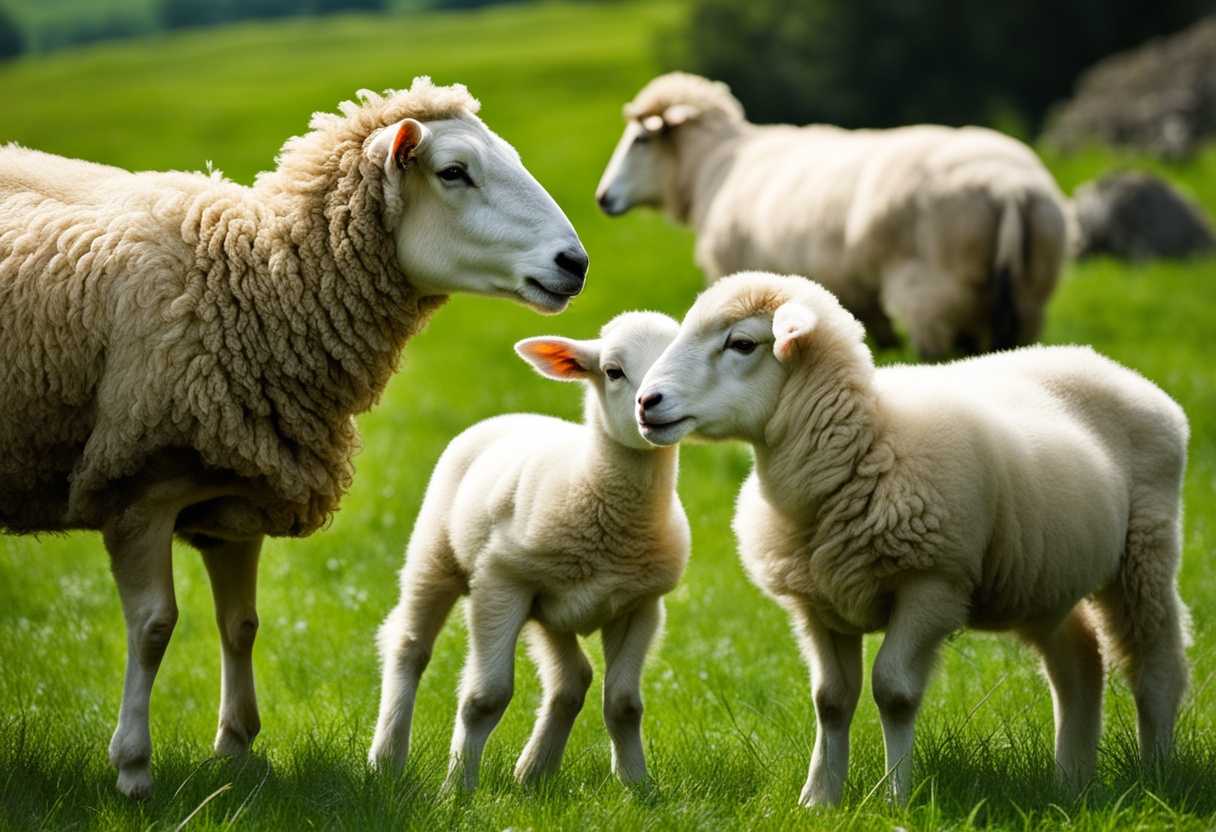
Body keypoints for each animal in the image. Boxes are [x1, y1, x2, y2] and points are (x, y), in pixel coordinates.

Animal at [0, 76, 589, 798]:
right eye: (454, 172)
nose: (575, 263)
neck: (252, 275)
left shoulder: (236, 493)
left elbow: (240, 625)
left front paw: (235, 751)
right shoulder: (139, 485)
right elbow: (154, 627)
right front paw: (134, 767)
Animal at [369, 311, 689, 792]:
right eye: (613, 371)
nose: (649, 405)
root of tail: (515, 415)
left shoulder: (642, 603)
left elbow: (623, 704)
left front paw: (639, 787)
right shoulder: (500, 585)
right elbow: (485, 697)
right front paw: (457, 789)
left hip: (553, 610)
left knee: (570, 680)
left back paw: (533, 772)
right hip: (435, 553)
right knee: (408, 645)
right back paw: (387, 758)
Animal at [596, 72, 1071, 359]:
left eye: (640, 139)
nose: (602, 198)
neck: (713, 166)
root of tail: (1008, 187)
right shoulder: (856, 297)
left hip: (933, 290)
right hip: (1026, 294)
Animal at [635, 271, 1190, 806]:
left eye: (743, 343)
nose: (646, 402)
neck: (865, 443)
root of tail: (1110, 366)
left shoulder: (932, 585)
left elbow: (894, 691)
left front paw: (896, 797)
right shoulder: (817, 602)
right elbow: (831, 701)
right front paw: (819, 800)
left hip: (1145, 549)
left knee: (1156, 662)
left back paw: (1157, 772)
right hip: (1044, 578)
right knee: (1079, 660)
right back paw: (1070, 782)